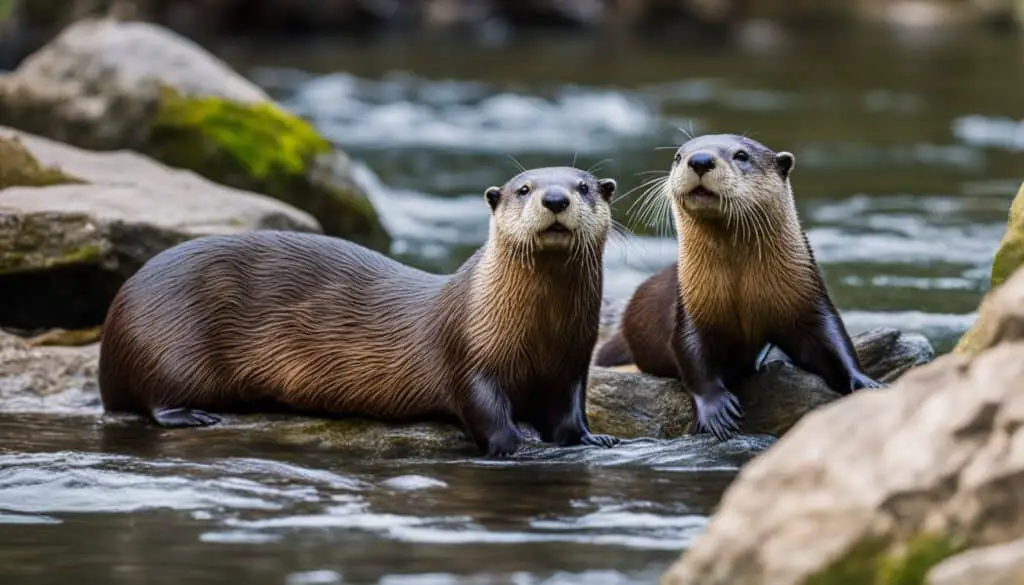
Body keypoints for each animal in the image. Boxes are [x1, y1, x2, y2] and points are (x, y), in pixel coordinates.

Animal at [98, 167, 620, 458]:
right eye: (524, 188)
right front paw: (510, 447)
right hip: (168, 341)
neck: (540, 335)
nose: (555, 198)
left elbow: (568, 414)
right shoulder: (469, 357)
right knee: (152, 397)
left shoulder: (571, 363)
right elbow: (483, 409)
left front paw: (593, 440)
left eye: (584, 186)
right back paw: (190, 415)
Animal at [594, 134, 884, 440]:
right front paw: (716, 412)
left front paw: (867, 383)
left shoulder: (806, 297)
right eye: (678, 156)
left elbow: (833, 341)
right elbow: (691, 355)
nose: (699, 160)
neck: (742, 290)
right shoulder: (691, 306)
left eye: (741, 155)